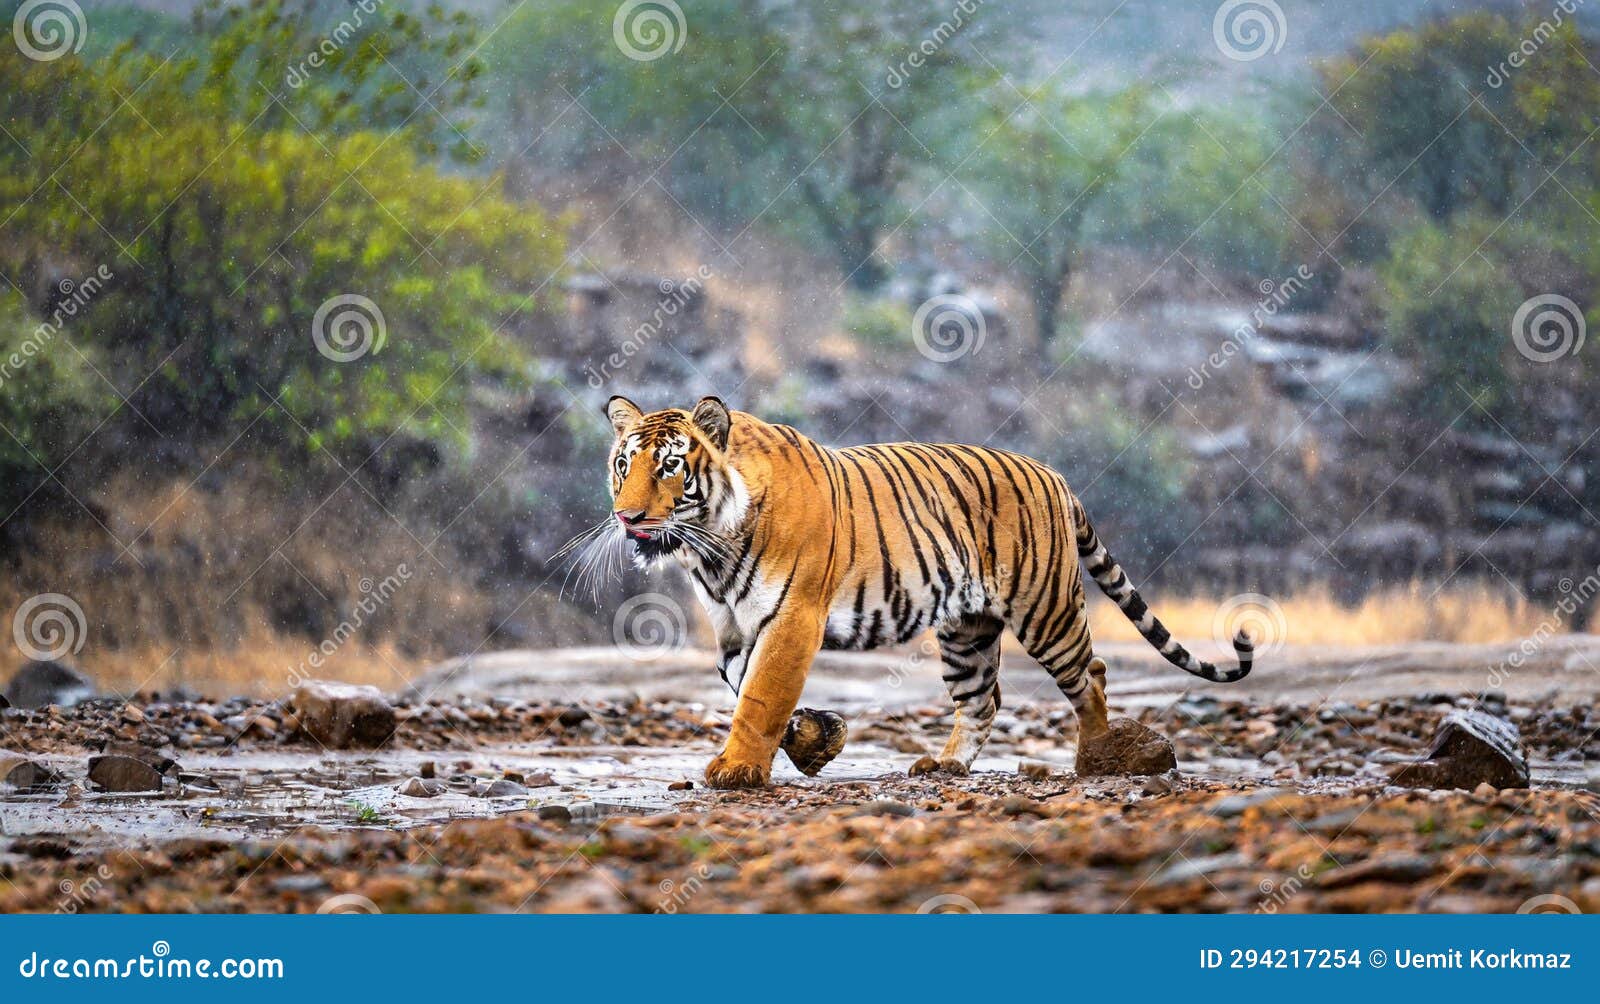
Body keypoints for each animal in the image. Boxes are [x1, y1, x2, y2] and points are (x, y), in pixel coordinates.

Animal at [599, 395, 1253, 789]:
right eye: (623, 465)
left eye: (669, 467)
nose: (627, 516)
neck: (712, 547)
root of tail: (1056, 476)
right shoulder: (734, 630)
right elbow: (752, 695)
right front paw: (818, 741)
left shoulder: (792, 618)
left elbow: (762, 698)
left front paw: (736, 770)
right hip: (967, 630)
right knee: (983, 699)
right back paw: (946, 764)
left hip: (1046, 610)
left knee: (1089, 673)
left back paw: (1096, 760)